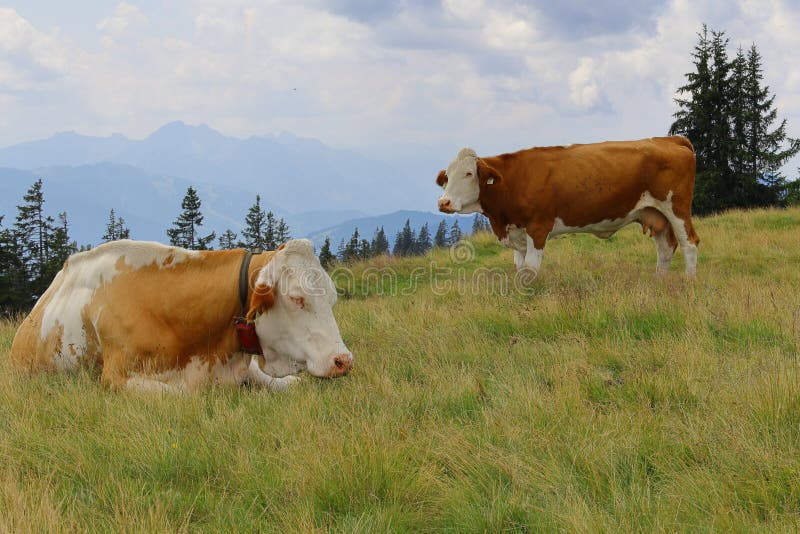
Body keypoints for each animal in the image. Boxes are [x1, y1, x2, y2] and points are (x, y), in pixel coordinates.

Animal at [9, 239, 353, 393]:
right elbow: (183, 394)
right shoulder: (116, 377)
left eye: (332, 298)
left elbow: (288, 384)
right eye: (297, 299)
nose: (343, 360)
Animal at [436, 137, 700, 277]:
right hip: (655, 214)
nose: (443, 202)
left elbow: (530, 269)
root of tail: (668, 139)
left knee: (689, 243)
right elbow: (520, 268)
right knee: (666, 248)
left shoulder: (538, 227)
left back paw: (688, 281)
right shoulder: (517, 233)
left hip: (676, 208)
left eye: (469, 173)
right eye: (447, 176)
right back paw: (659, 281)